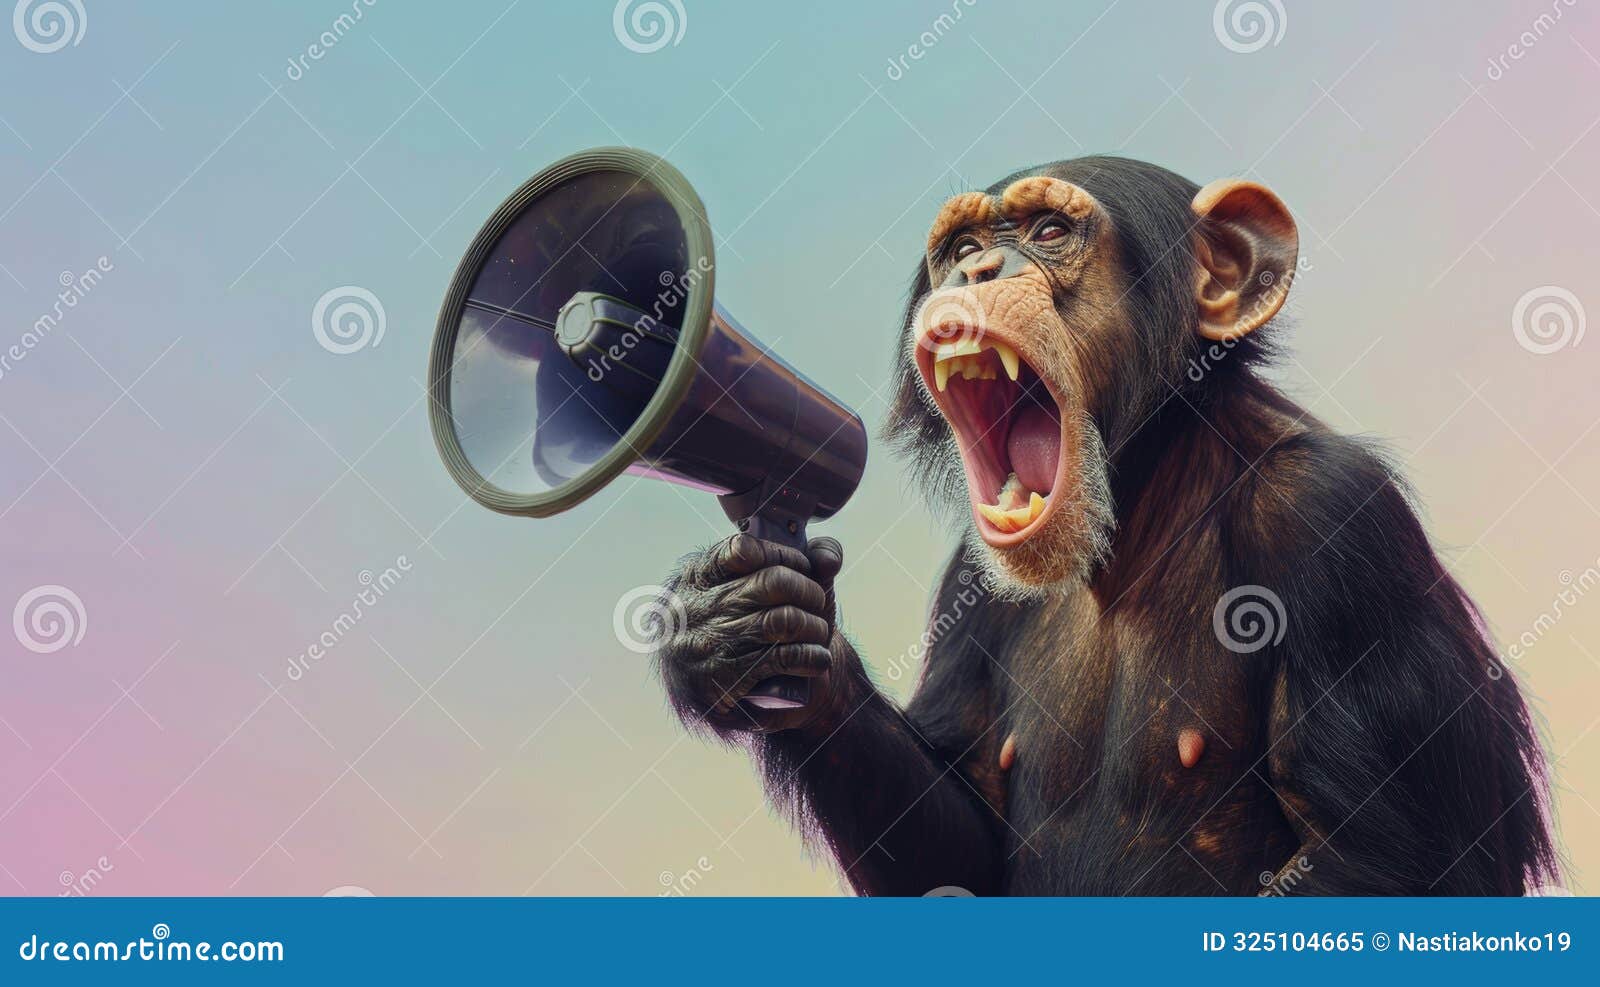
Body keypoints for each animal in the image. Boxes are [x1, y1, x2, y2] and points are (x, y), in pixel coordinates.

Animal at [652, 156, 1558, 896]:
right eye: (961, 246)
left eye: (1050, 232)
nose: (978, 268)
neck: (1141, 510)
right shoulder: (973, 578)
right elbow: (958, 852)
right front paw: (737, 626)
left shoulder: (1336, 521)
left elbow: (1393, 865)